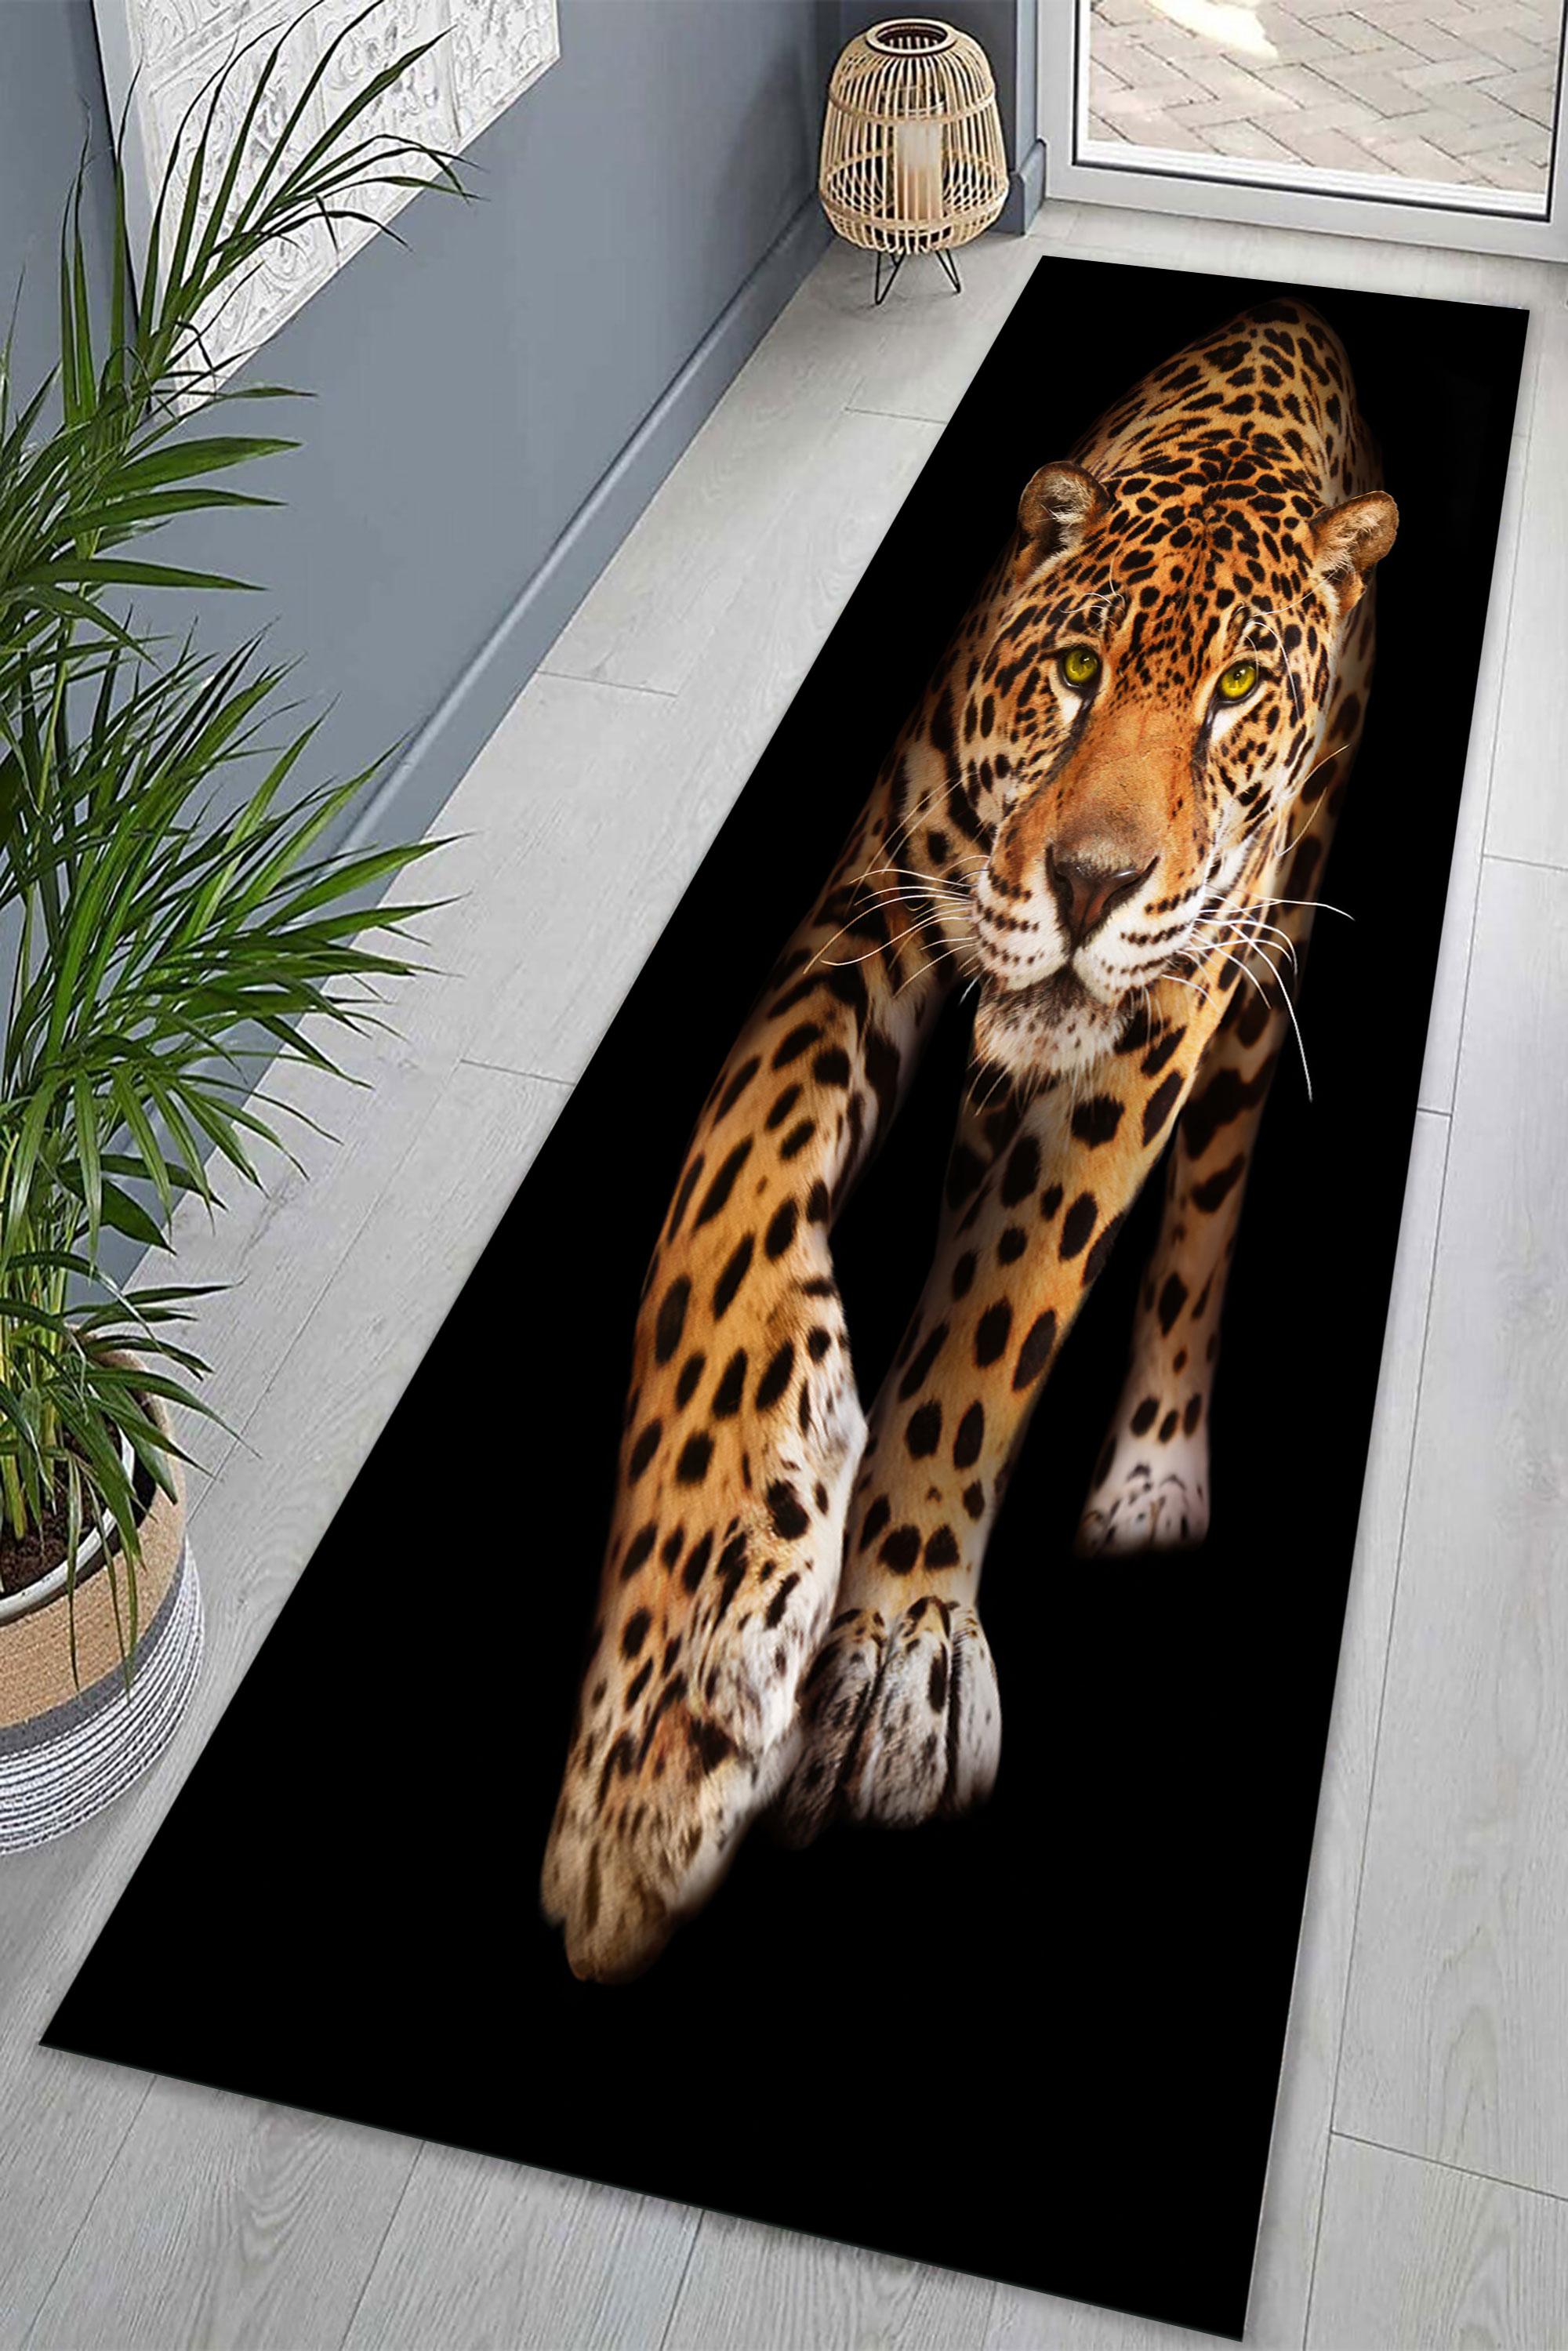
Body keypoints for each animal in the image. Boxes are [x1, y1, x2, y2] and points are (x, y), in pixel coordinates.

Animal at [541, 296, 1397, 1983]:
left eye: (1236, 696)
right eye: (1072, 667)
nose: (1090, 883)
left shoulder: (1161, 1010)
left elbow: (1003, 1309)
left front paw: (893, 1640)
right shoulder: (862, 914)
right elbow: (733, 1205)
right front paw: (668, 1694)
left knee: (1194, 1221)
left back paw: (1150, 1473)